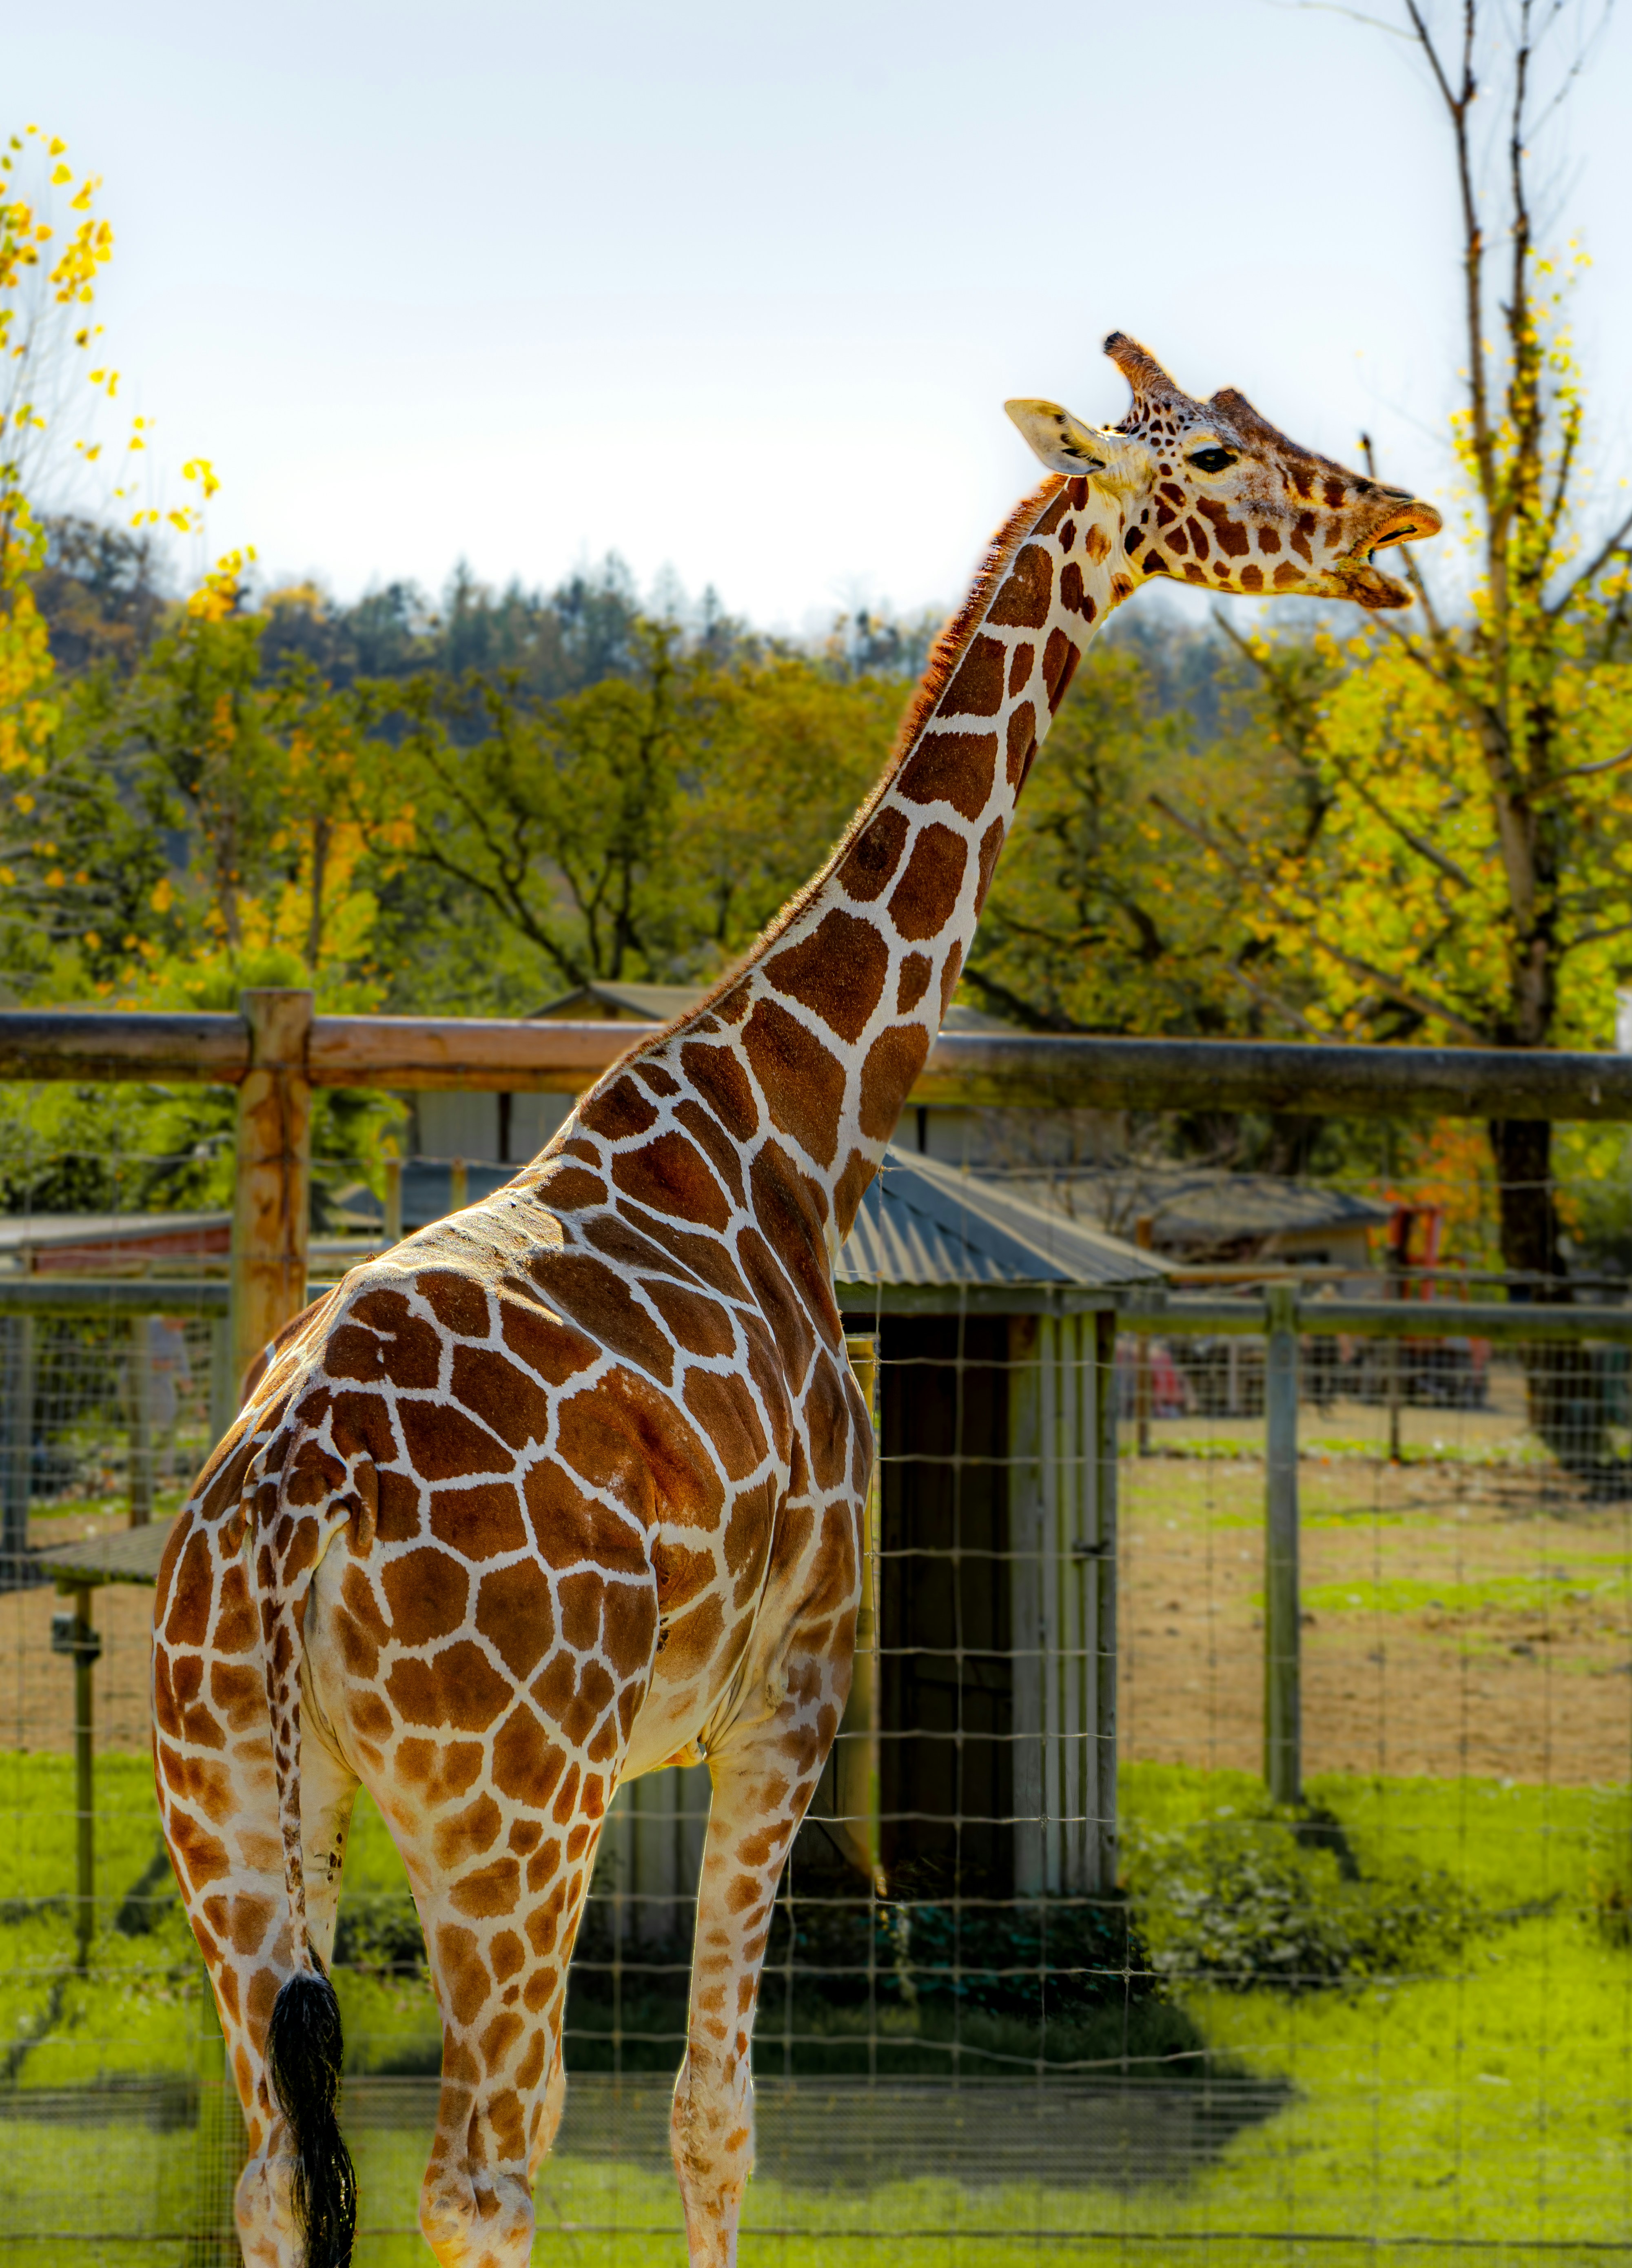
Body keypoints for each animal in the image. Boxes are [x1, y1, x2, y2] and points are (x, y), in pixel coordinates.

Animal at [152, 332, 1440, 2268]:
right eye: (1211, 453)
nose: (1391, 518)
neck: (789, 1121)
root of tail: (286, 1505)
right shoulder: (794, 1678)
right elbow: (713, 2116)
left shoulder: (685, 1729)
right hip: (502, 1817)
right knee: (482, 2167)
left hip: (236, 1804)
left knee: (277, 2171)